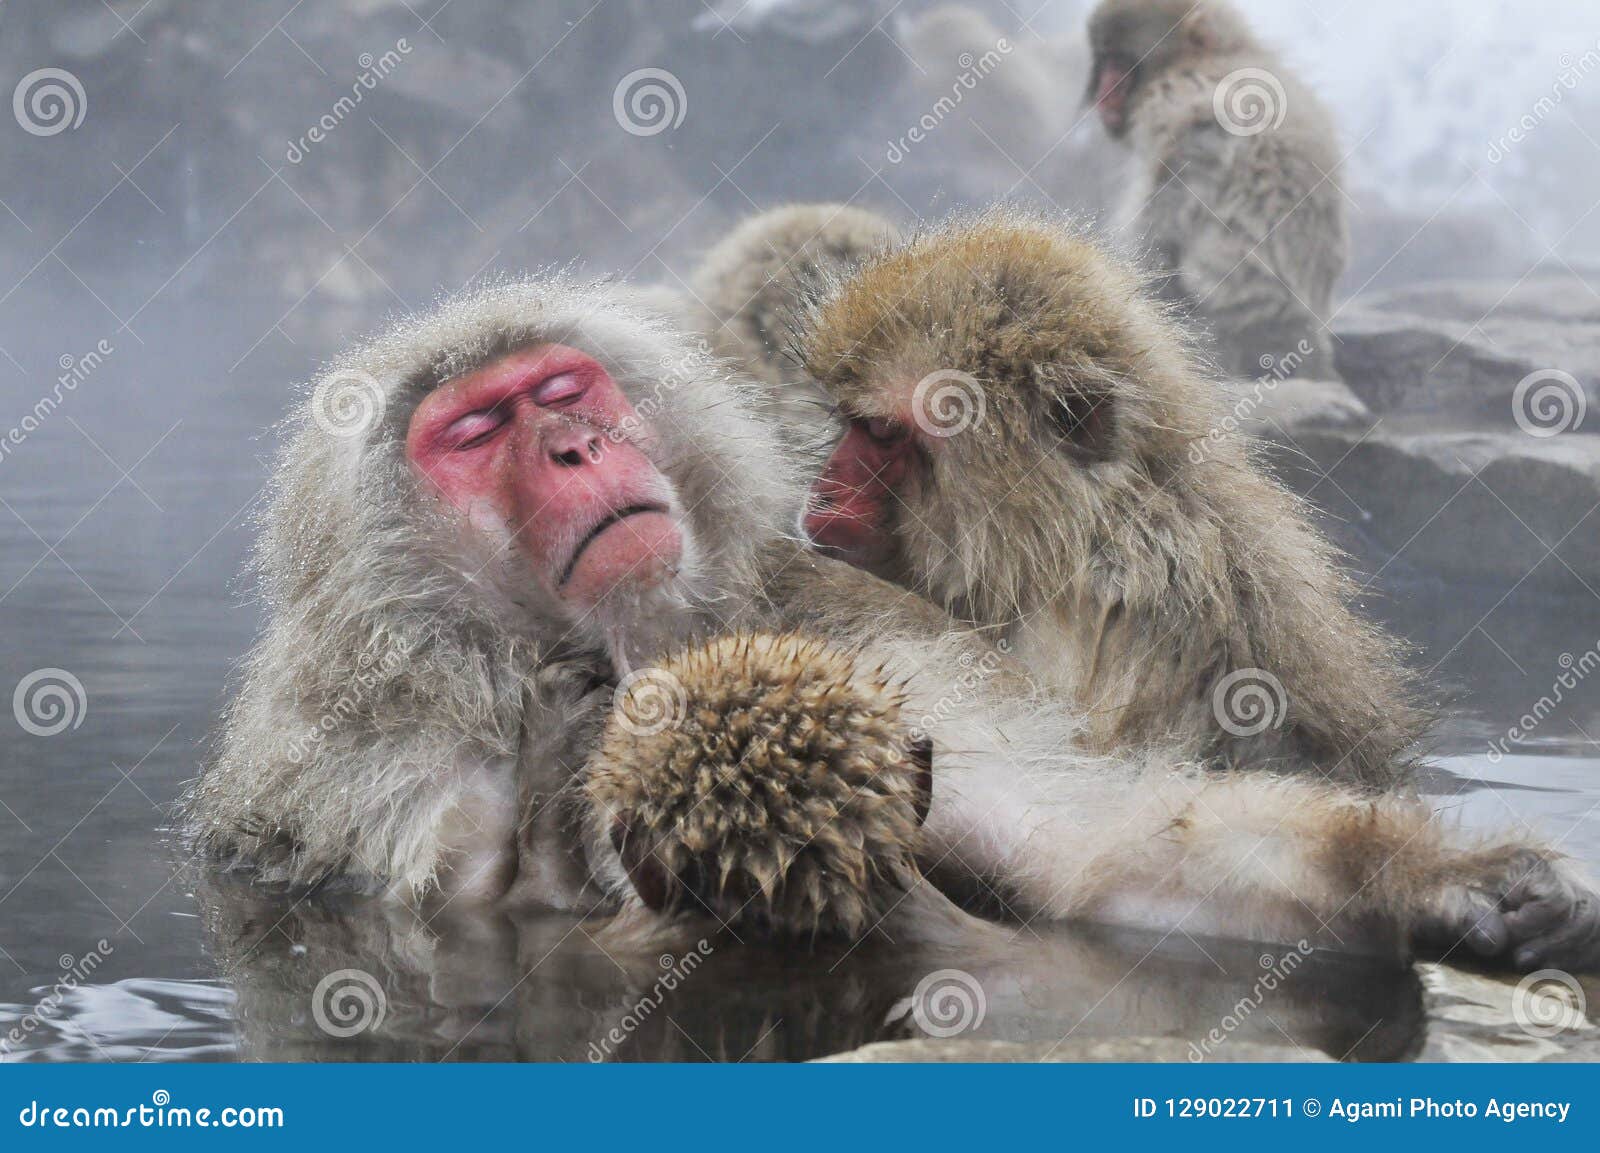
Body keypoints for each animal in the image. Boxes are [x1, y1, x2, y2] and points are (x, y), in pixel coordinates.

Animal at [187, 272, 1600, 973]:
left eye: (561, 391)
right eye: (478, 432)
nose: (580, 445)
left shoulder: (850, 627)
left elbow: (1098, 846)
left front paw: (1436, 884)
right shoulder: (362, 770)